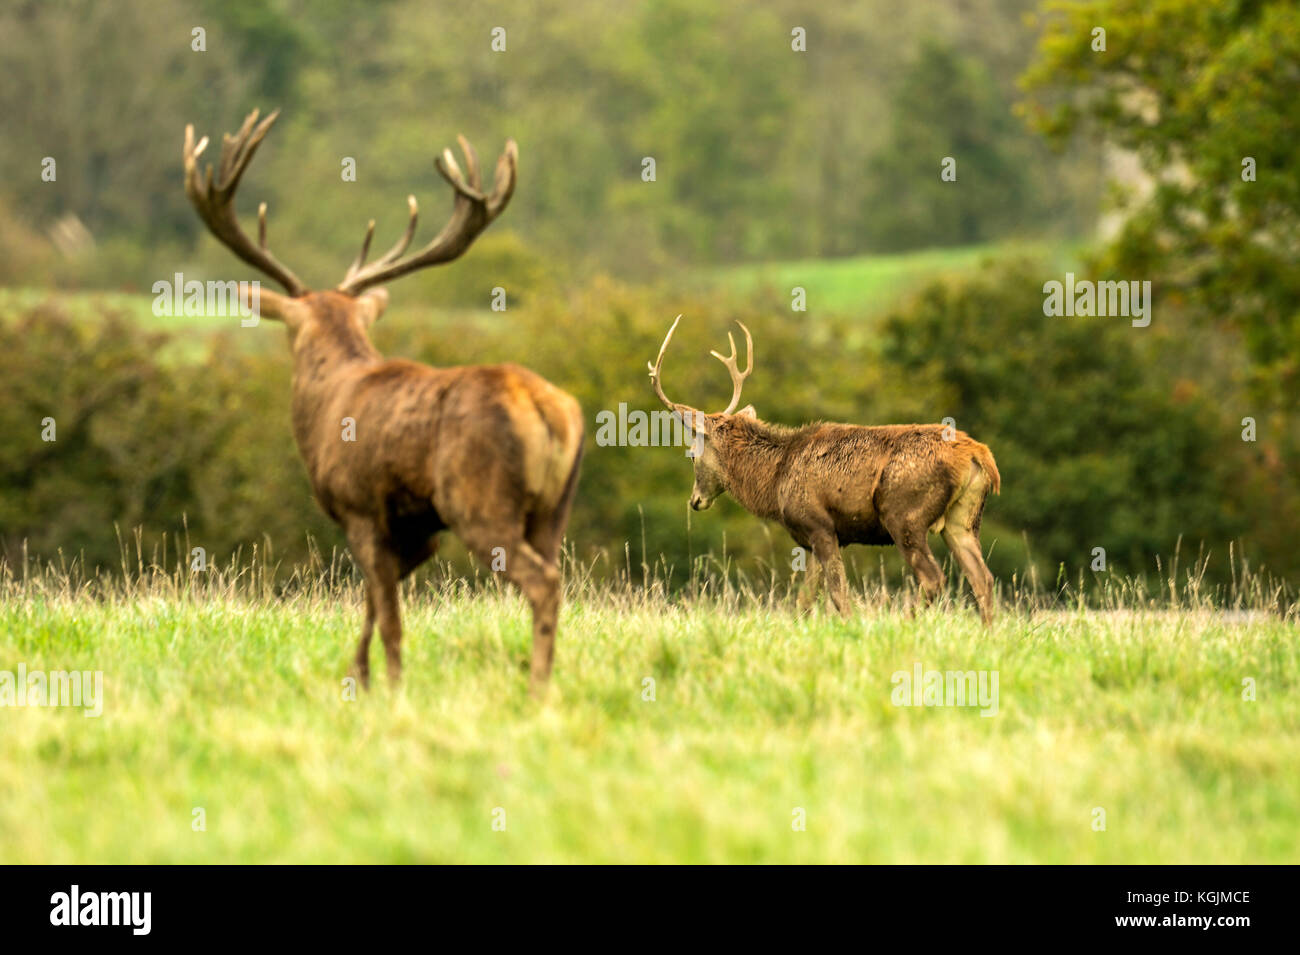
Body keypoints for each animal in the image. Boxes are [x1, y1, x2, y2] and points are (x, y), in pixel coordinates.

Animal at [182, 109, 584, 695]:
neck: (327, 403)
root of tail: (545, 408)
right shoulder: (416, 530)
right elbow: (375, 600)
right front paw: (360, 674)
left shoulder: (360, 506)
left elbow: (389, 613)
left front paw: (388, 686)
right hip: (554, 509)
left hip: (478, 502)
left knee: (543, 583)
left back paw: (536, 690)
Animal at [648, 316, 1000, 623]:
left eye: (692, 456)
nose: (695, 500)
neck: (774, 481)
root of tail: (980, 456)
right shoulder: (811, 538)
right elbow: (804, 601)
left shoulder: (819, 525)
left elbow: (838, 594)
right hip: (962, 520)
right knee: (983, 579)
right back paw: (987, 635)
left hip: (905, 514)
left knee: (934, 578)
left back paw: (905, 625)